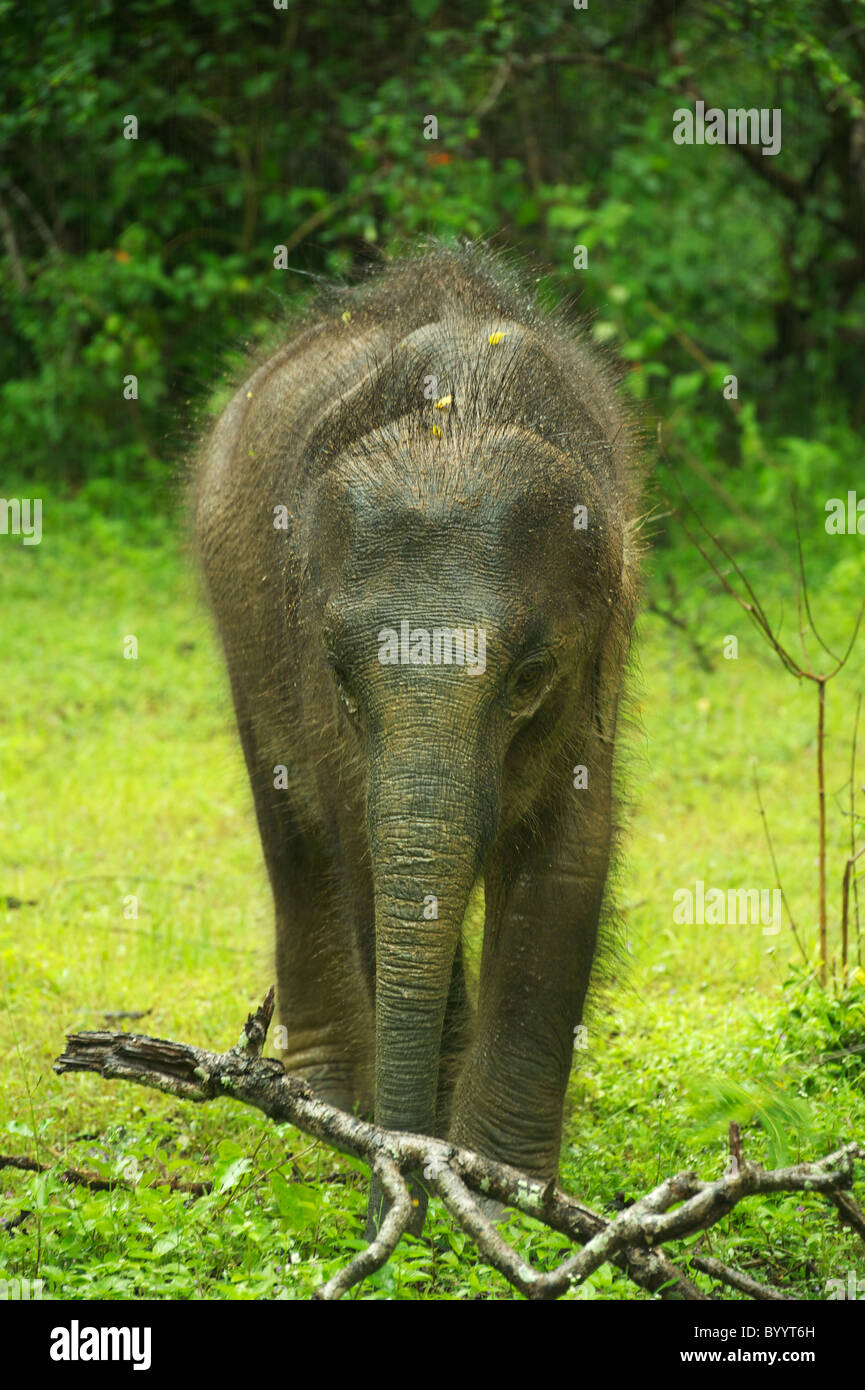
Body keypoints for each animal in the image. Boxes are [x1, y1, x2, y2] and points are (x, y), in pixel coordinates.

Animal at [192, 241, 644, 1235]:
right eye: (341, 676)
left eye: (528, 677)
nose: (395, 1203)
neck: (461, 405)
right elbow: (362, 847)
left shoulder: (601, 668)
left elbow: (567, 862)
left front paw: (506, 1196)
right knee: (292, 829)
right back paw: (321, 1104)